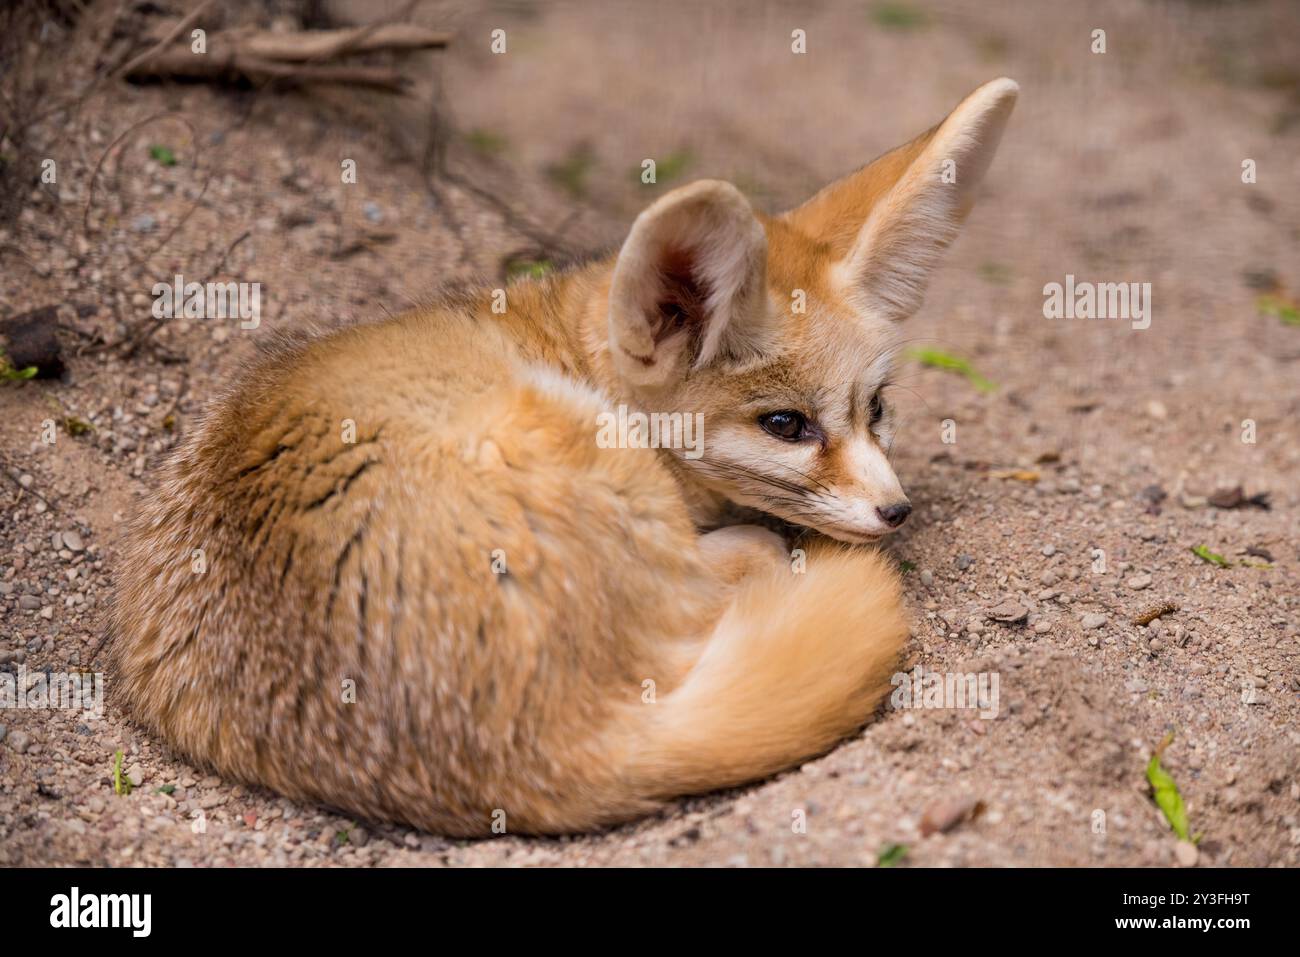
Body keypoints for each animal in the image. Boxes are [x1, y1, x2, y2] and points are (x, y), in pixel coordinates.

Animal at [109, 78, 1018, 835]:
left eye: (876, 408)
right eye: (787, 424)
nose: (898, 511)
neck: (565, 347)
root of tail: (539, 753)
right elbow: (753, 543)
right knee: (732, 572)